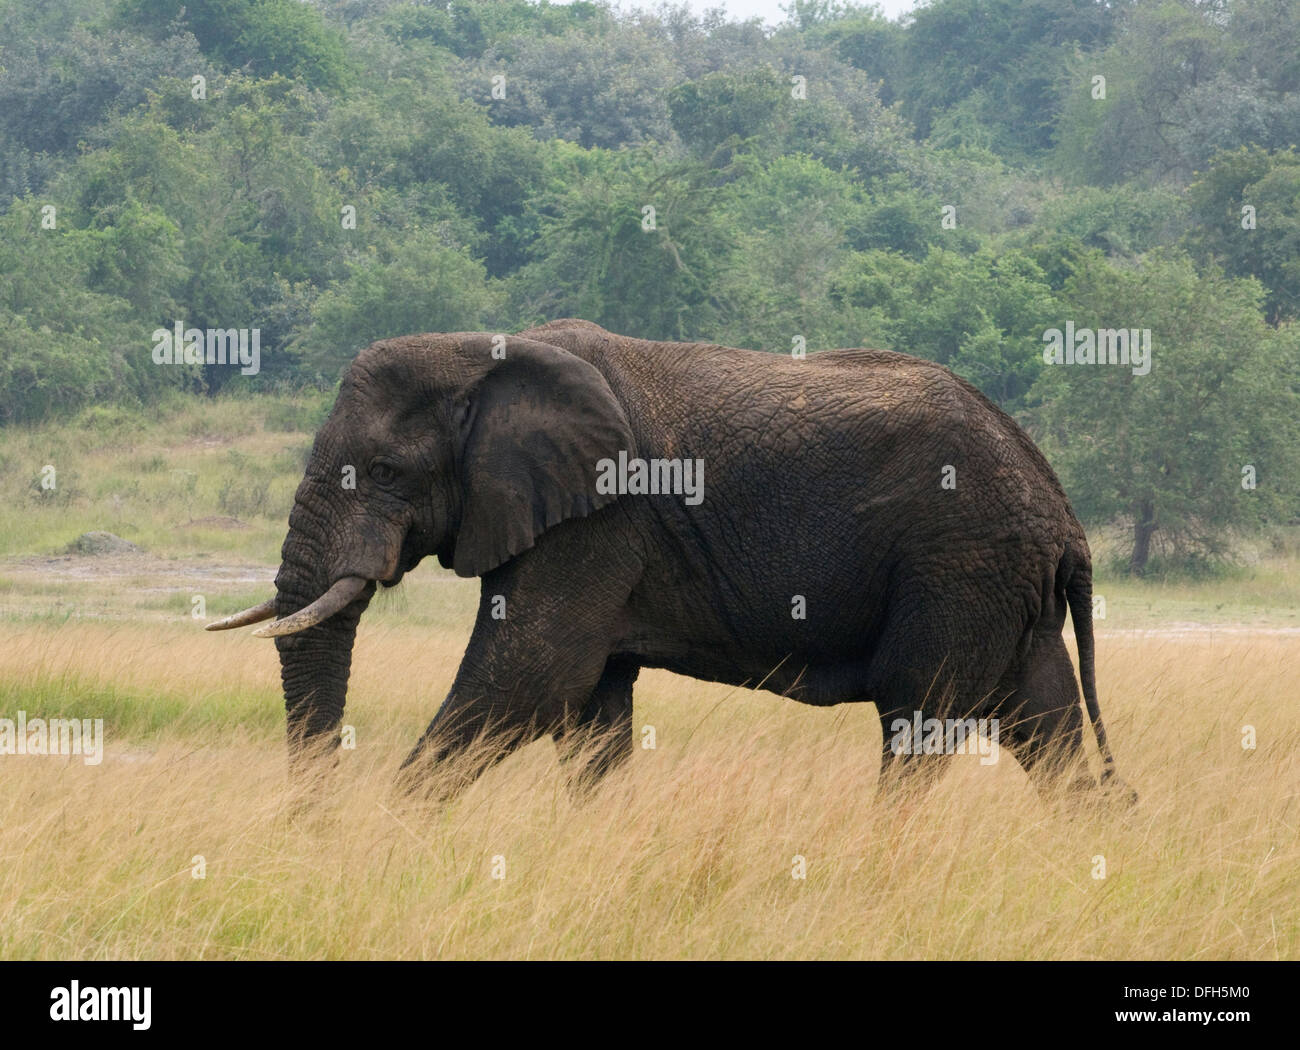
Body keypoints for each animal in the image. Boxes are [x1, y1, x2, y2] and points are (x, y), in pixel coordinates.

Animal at [209, 319, 1133, 804]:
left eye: (387, 472)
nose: (311, 823)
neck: (481, 348)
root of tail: (1063, 511)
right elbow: (591, 707)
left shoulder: (596, 519)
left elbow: (528, 677)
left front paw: (387, 835)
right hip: (1000, 582)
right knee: (1044, 725)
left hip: (959, 562)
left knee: (918, 718)